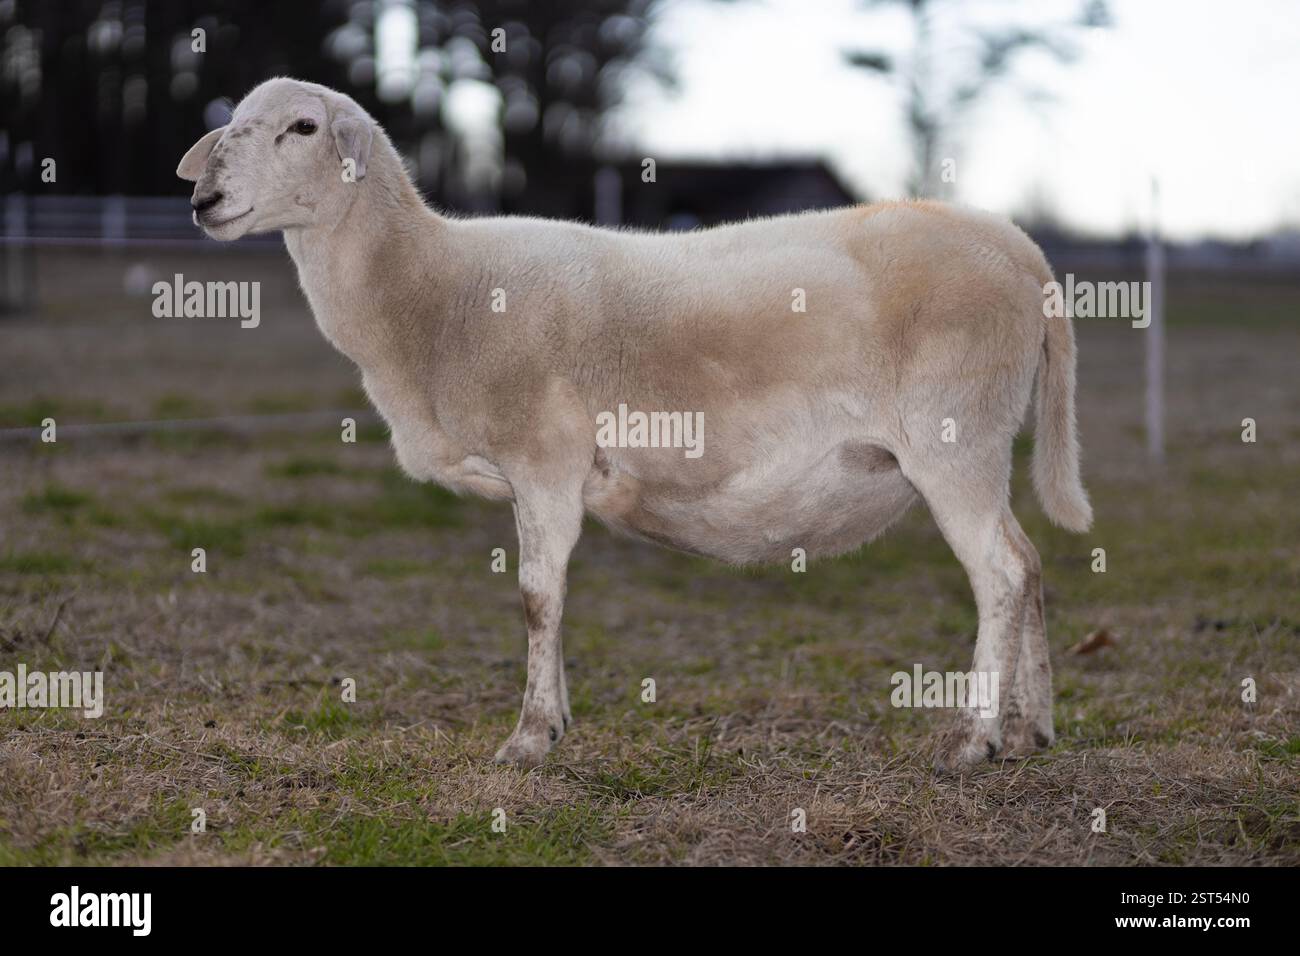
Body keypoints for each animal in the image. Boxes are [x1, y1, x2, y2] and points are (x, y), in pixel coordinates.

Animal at [178, 78, 1091, 771]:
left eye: (303, 127)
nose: (205, 200)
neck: (432, 292)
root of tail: (1024, 254)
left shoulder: (544, 458)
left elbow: (537, 594)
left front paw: (528, 740)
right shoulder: (533, 478)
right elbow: (546, 595)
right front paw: (556, 719)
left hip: (952, 439)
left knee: (998, 574)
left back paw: (974, 741)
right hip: (980, 446)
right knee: (1029, 561)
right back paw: (1031, 729)